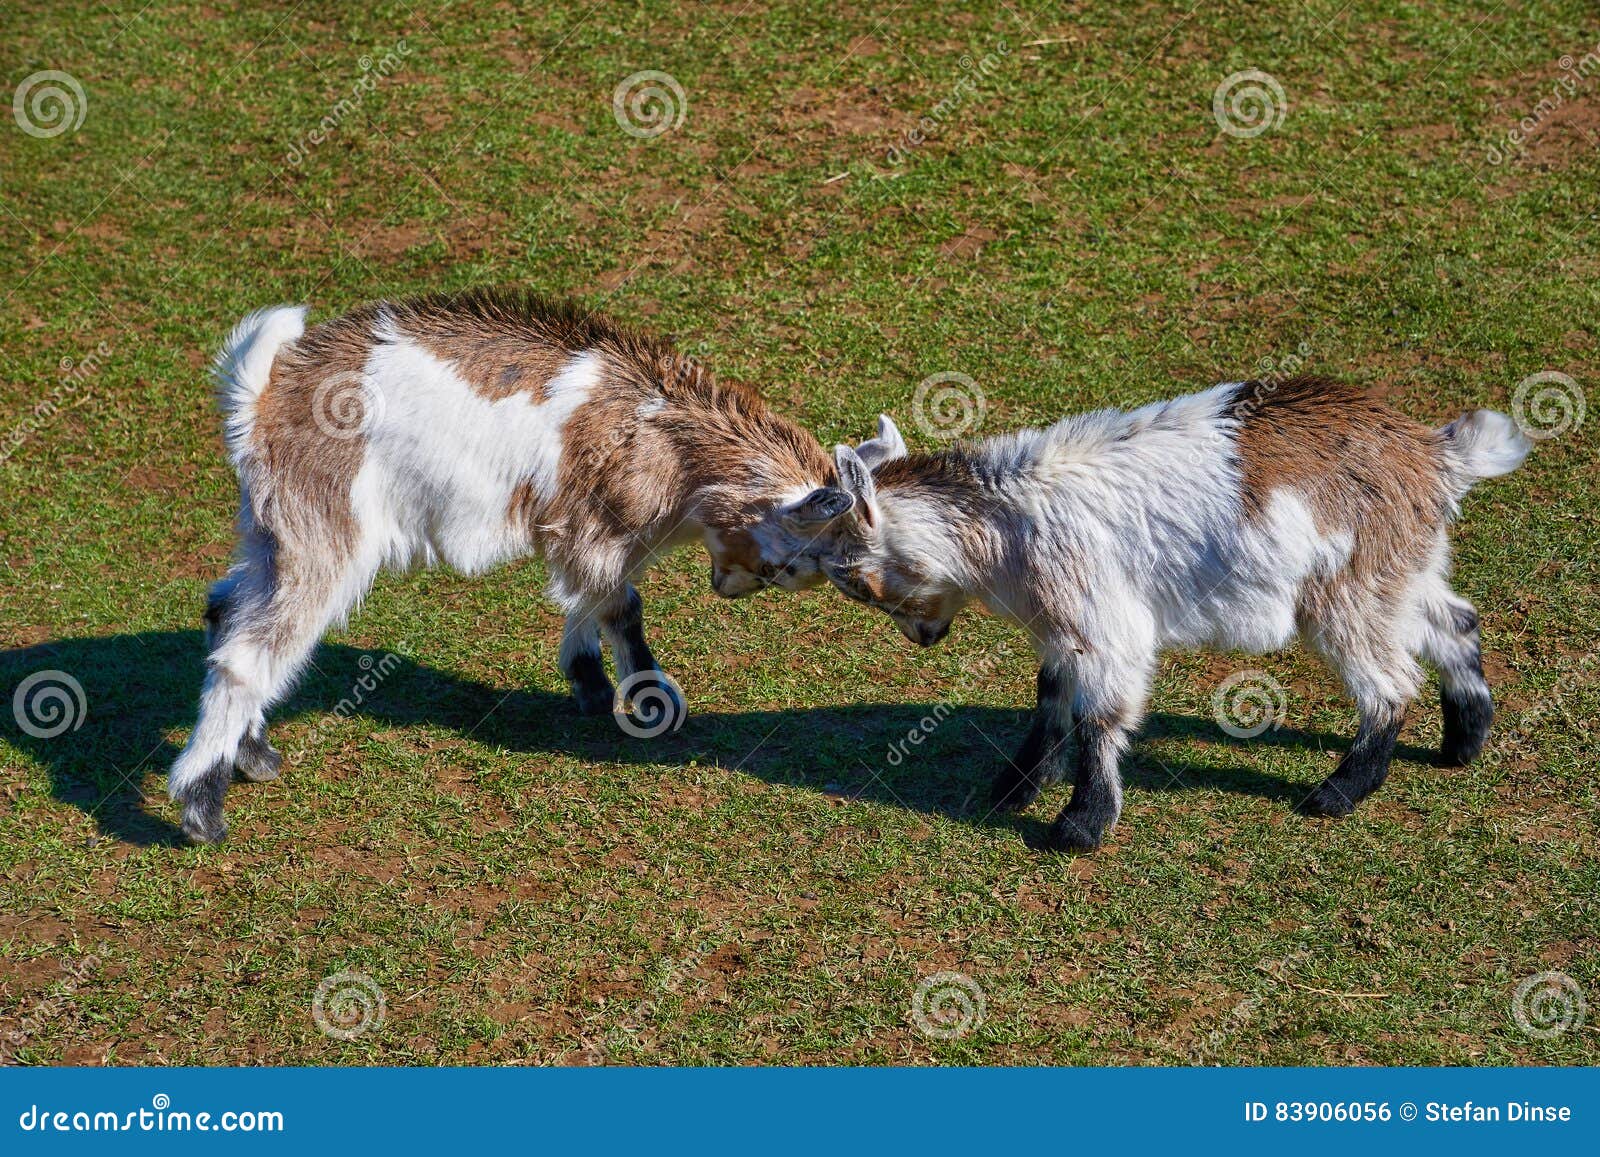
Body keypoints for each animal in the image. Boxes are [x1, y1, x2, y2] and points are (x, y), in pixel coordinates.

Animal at [172, 289, 844, 843]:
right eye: (790, 565)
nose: (729, 587)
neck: (667, 439)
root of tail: (262, 394)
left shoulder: (580, 535)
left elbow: (588, 598)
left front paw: (589, 682)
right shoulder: (596, 528)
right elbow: (622, 606)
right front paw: (654, 703)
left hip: (270, 531)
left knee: (226, 609)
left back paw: (253, 754)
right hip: (324, 529)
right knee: (248, 656)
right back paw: (202, 809)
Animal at [791, 378, 1531, 852]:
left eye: (849, 578)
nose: (922, 637)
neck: (1008, 520)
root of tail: (1436, 454)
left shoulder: (1101, 618)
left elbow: (1098, 716)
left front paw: (1079, 826)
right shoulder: (1062, 626)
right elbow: (1050, 697)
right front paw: (1015, 788)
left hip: (1347, 587)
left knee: (1390, 683)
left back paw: (1339, 791)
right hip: (1402, 565)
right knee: (1455, 621)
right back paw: (1463, 742)